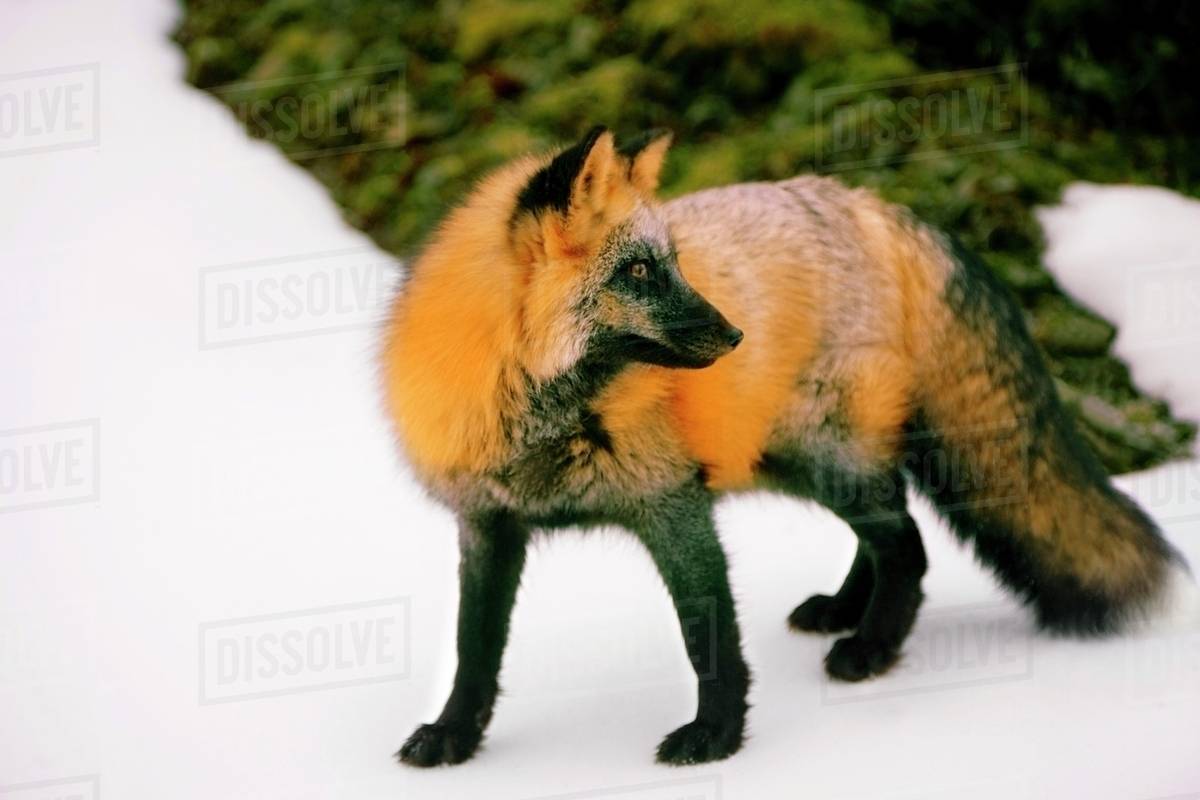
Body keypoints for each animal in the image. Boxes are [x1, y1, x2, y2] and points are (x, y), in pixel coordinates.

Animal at [381, 125, 1193, 766]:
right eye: (639, 270)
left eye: (674, 263)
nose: (734, 335)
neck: (543, 415)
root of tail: (876, 206)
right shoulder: (487, 524)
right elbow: (474, 648)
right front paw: (455, 737)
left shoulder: (673, 505)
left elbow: (709, 637)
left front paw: (715, 738)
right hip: (802, 459)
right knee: (891, 529)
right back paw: (844, 611)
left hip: (820, 455)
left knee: (907, 543)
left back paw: (871, 648)